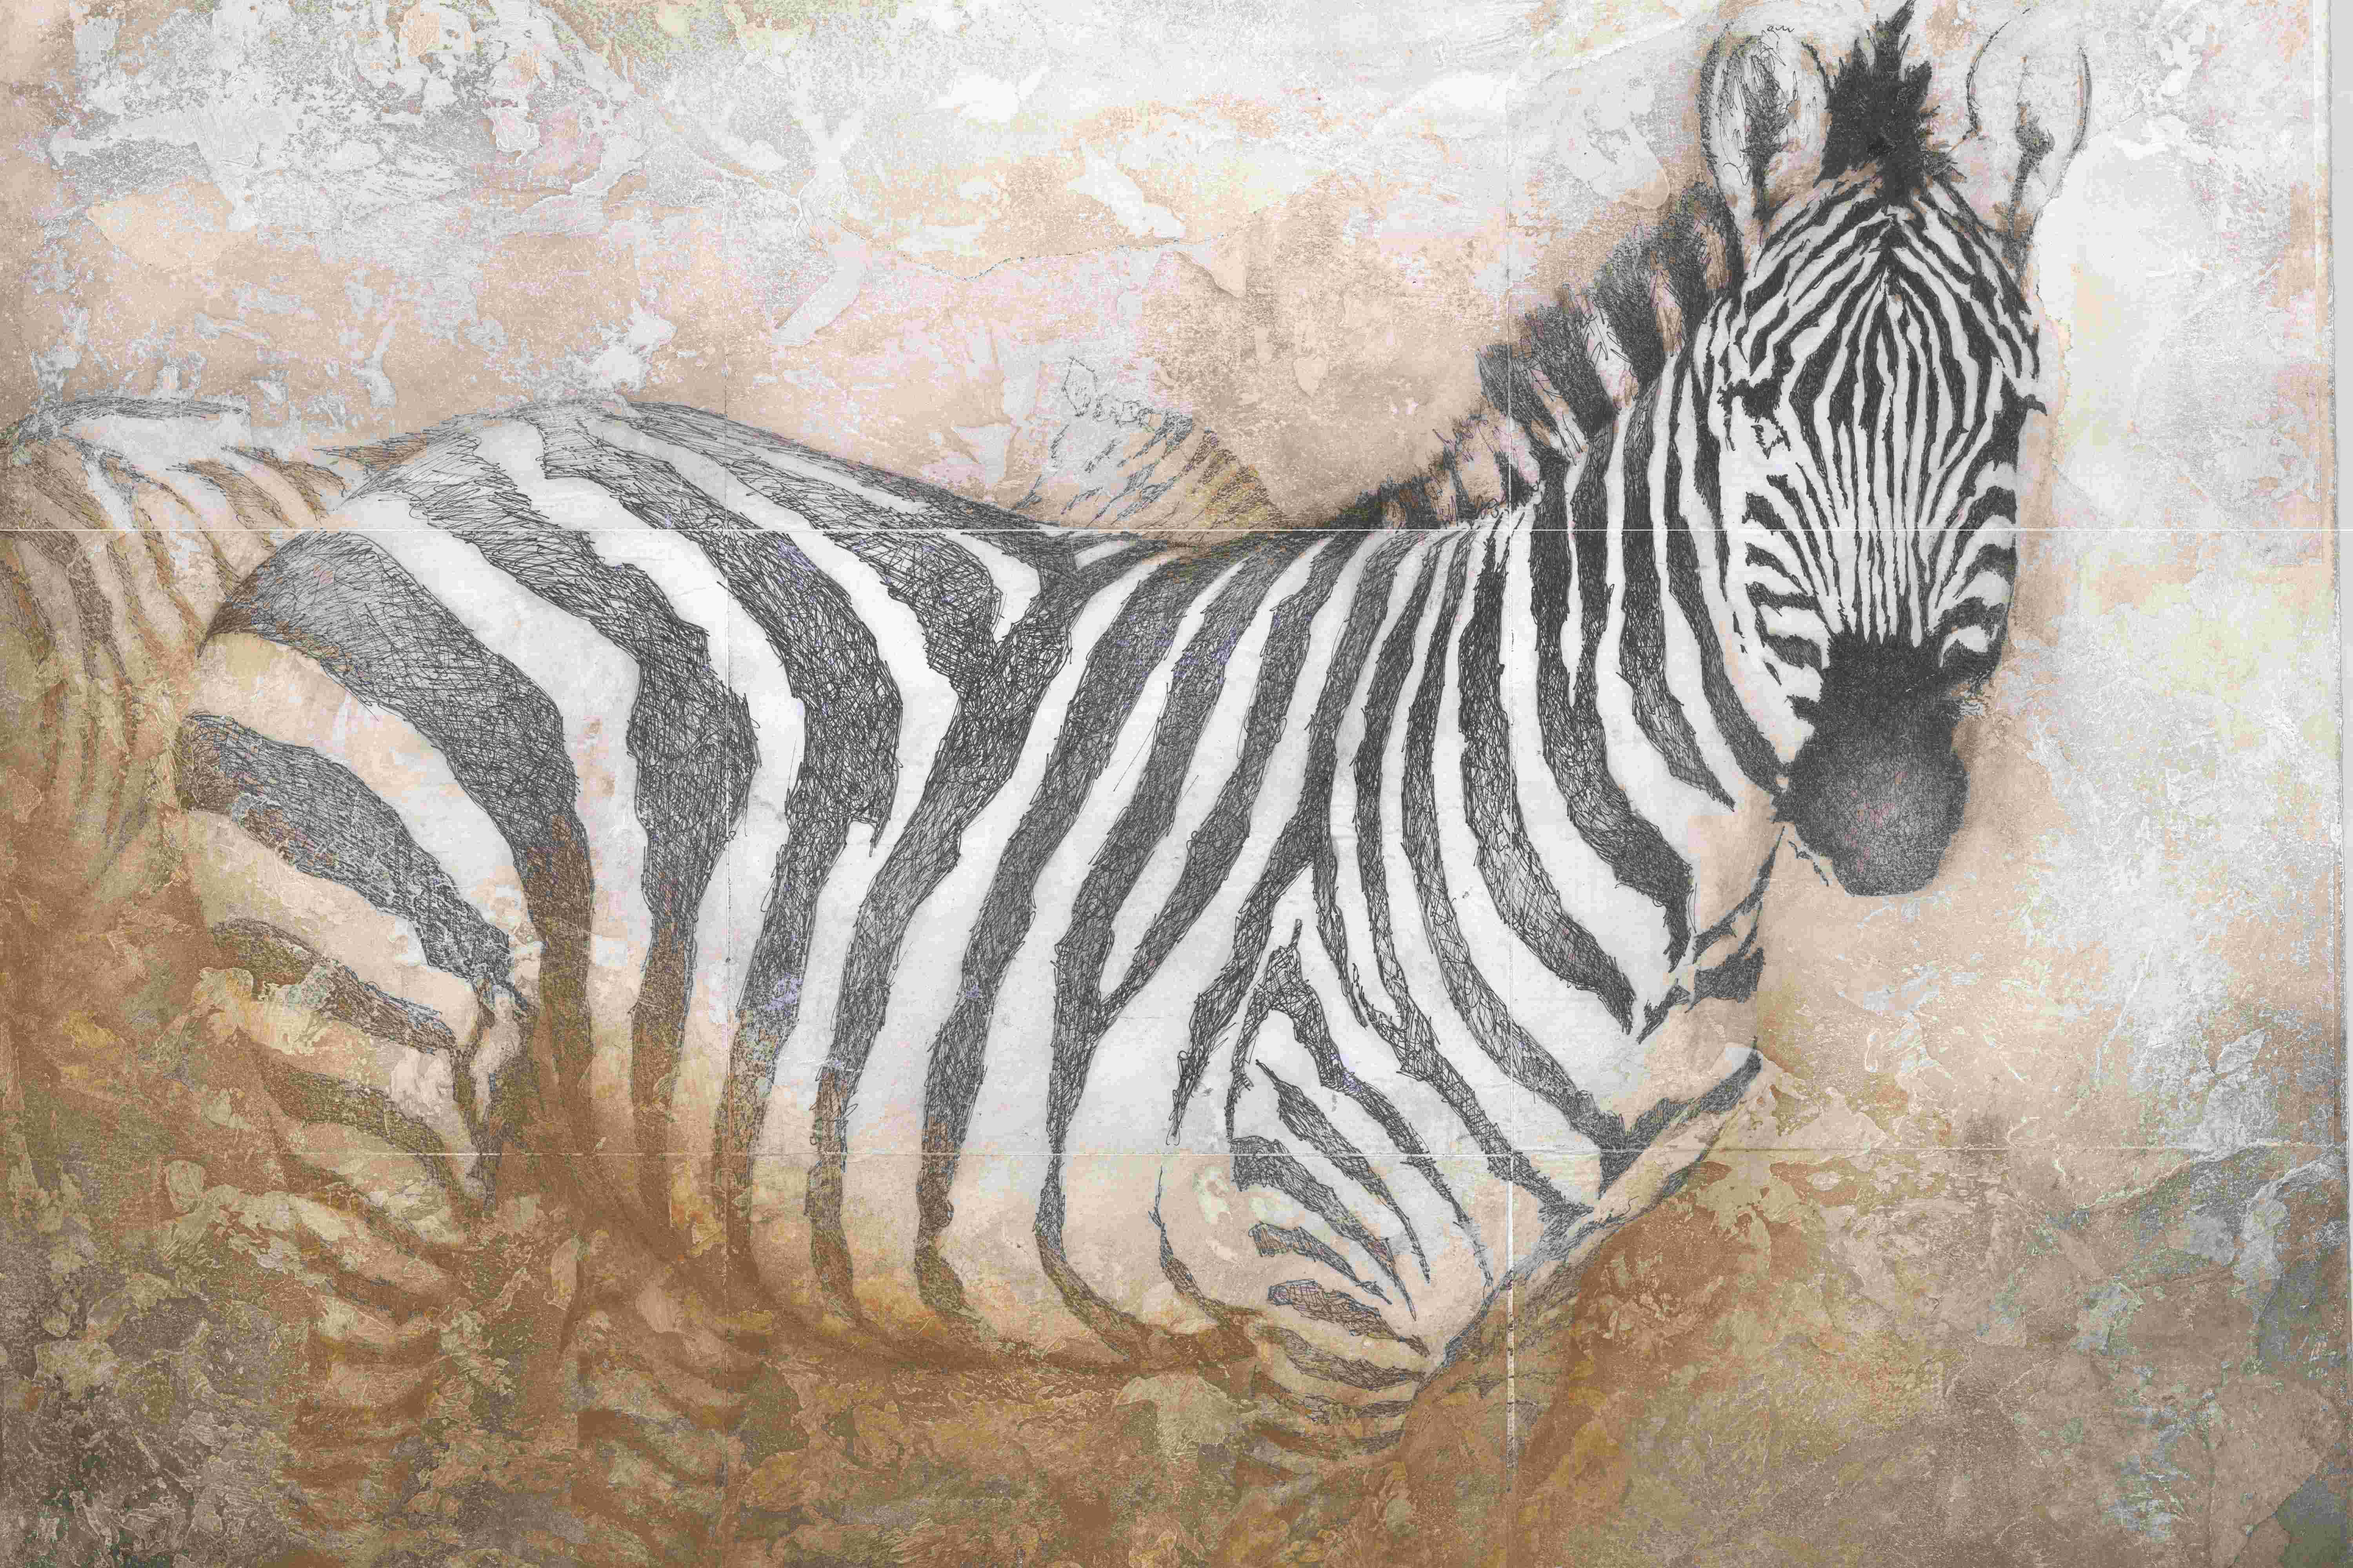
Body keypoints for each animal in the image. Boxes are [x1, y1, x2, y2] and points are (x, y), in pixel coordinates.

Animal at [152, 6, 2087, 1560]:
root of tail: (425, 462)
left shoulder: (1543, 1324)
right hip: (374, 1072)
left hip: (677, 1182)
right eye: (1757, 412)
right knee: (337, 1464)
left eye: (2013, 421)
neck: (1645, 855)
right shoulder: (1339, 1297)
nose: (1880, 809)